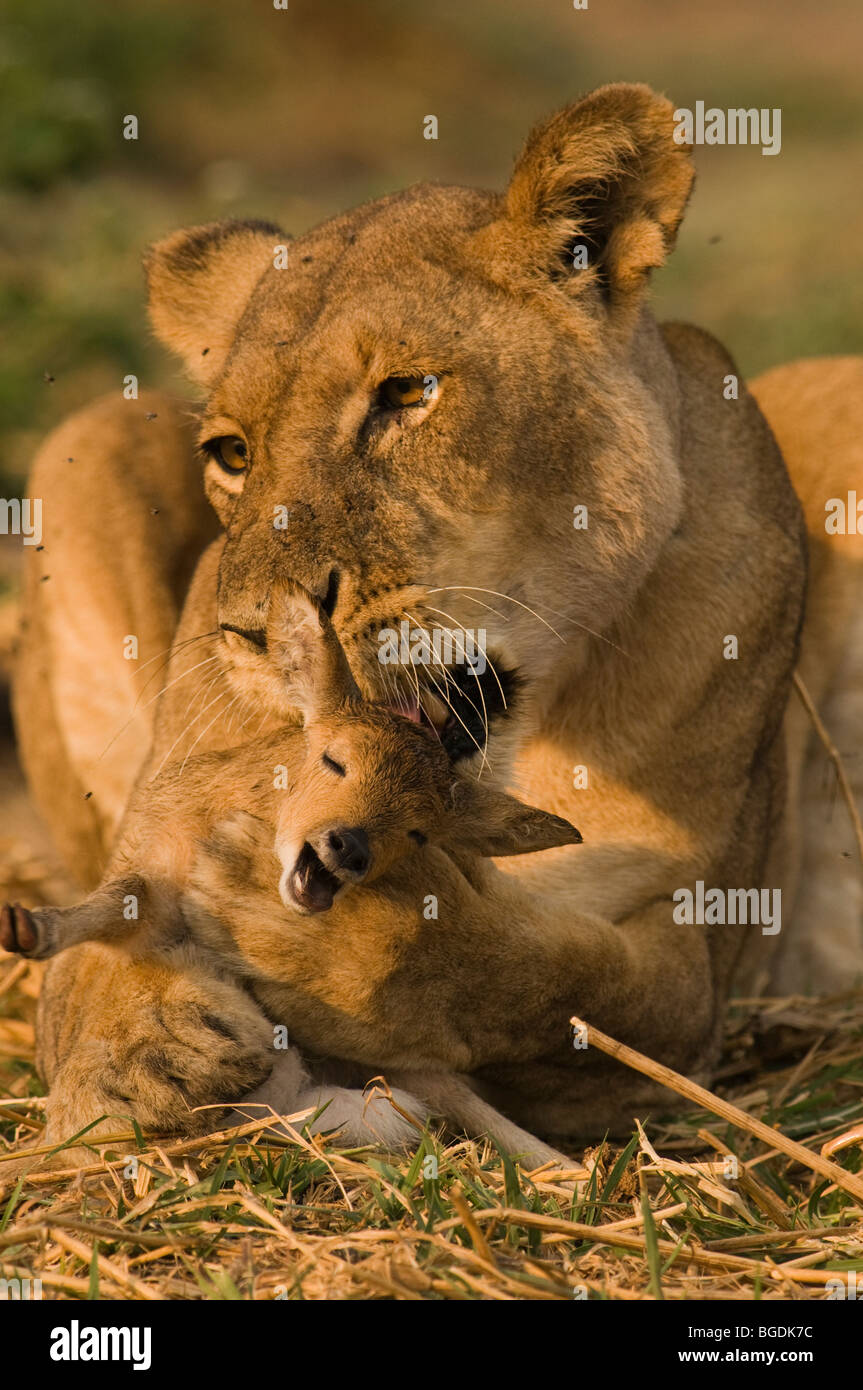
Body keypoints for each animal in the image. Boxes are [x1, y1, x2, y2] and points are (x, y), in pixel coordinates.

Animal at [9, 82, 863, 1159]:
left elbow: (554, 979)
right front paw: (134, 1039)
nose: (258, 631)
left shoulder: (696, 960)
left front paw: (349, 939)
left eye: (408, 393)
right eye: (233, 452)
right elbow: (90, 952)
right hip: (90, 438)